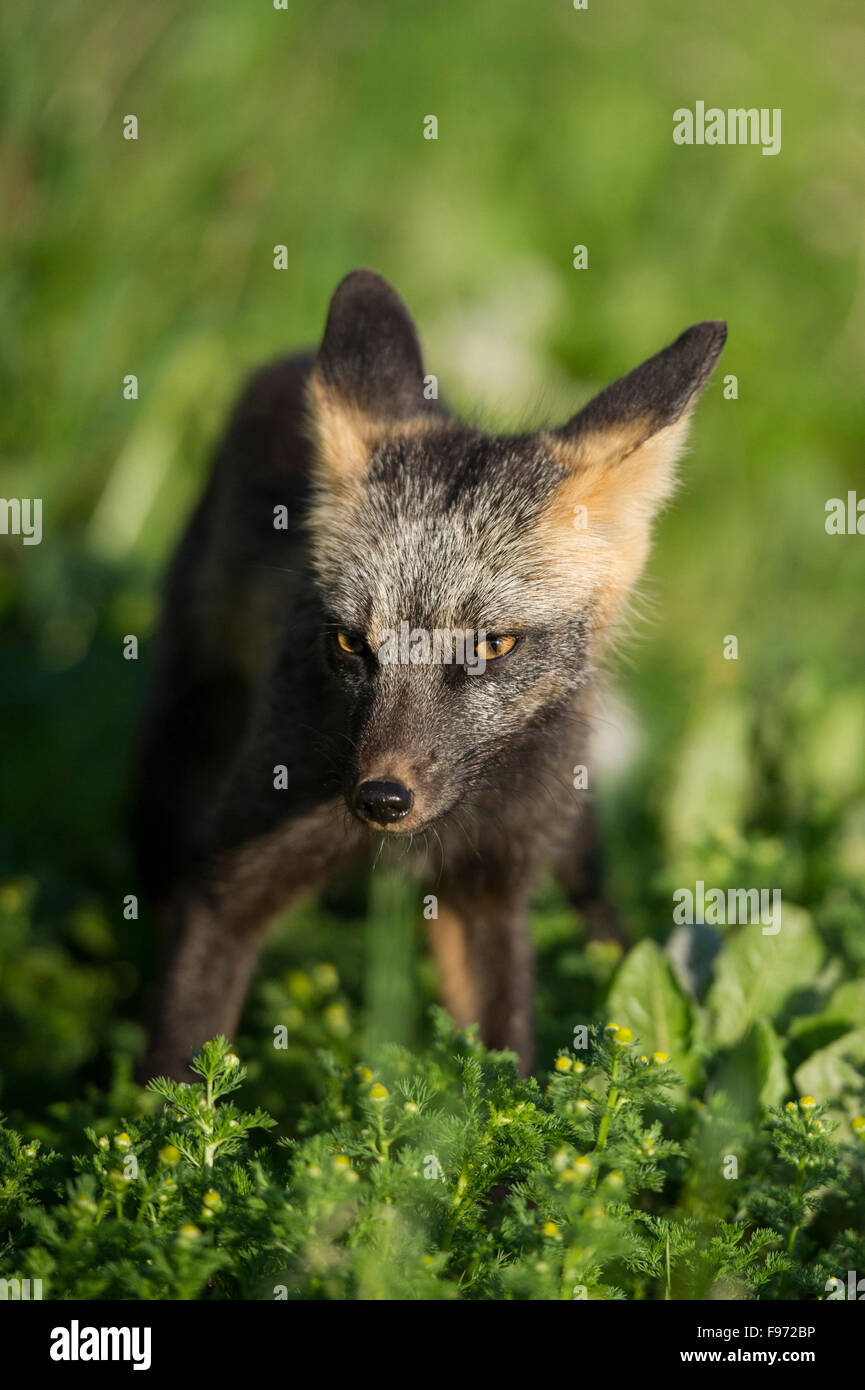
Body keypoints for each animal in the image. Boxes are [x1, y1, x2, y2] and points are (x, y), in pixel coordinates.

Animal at [132, 269, 726, 1080]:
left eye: (494, 645)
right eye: (351, 643)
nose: (381, 798)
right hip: (182, 752)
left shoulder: (490, 893)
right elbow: (176, 1079)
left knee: (594, 891)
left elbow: (507, 1069)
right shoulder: (226, 879)